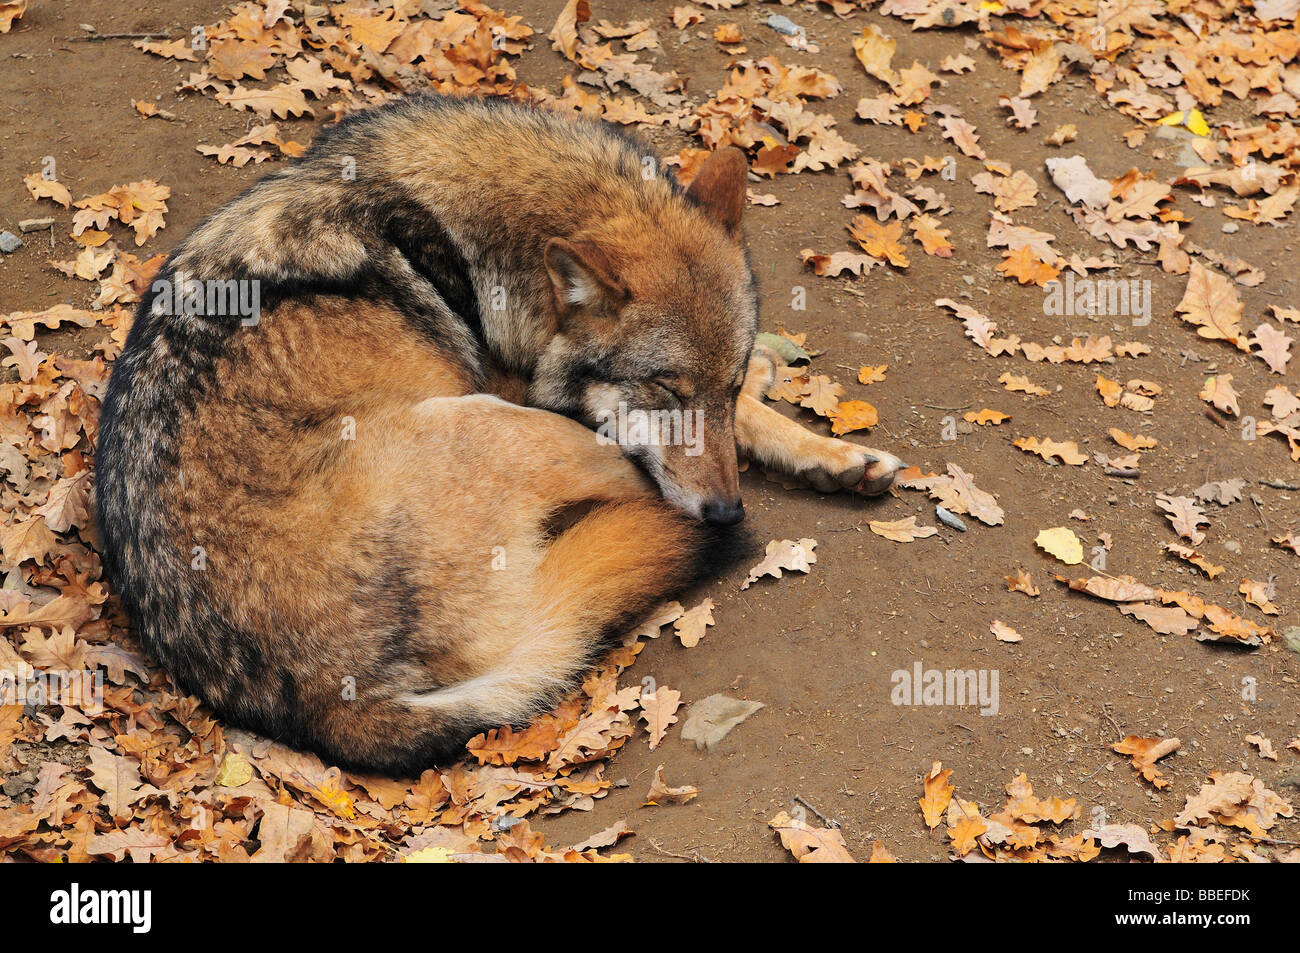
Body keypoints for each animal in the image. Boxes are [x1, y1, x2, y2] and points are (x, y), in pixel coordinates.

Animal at [95, 95, 904, 774]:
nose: (727, 512)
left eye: (720, 389)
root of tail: (327, 703)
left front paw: (830, 447)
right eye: (665, 392)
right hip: (490, 421)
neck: (452, 236)